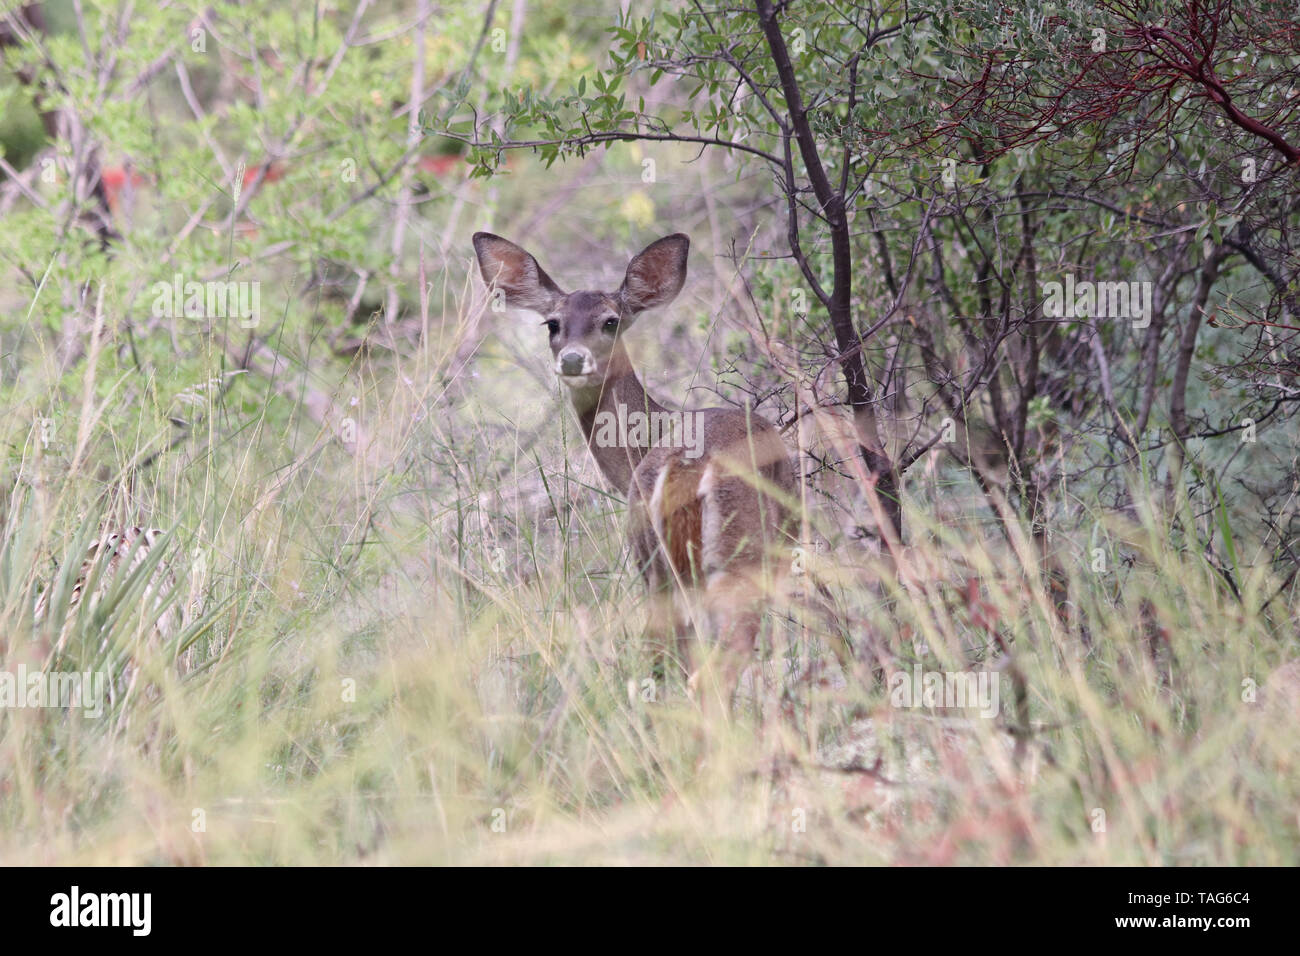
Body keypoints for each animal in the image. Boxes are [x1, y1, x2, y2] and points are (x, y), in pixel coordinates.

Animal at [473, 231, 797, 713]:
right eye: (552, 323)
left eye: (610, 321)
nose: (573, 360)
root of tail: (682, 467)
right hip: (740, 556)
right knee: (717, 666)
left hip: (659, 566)